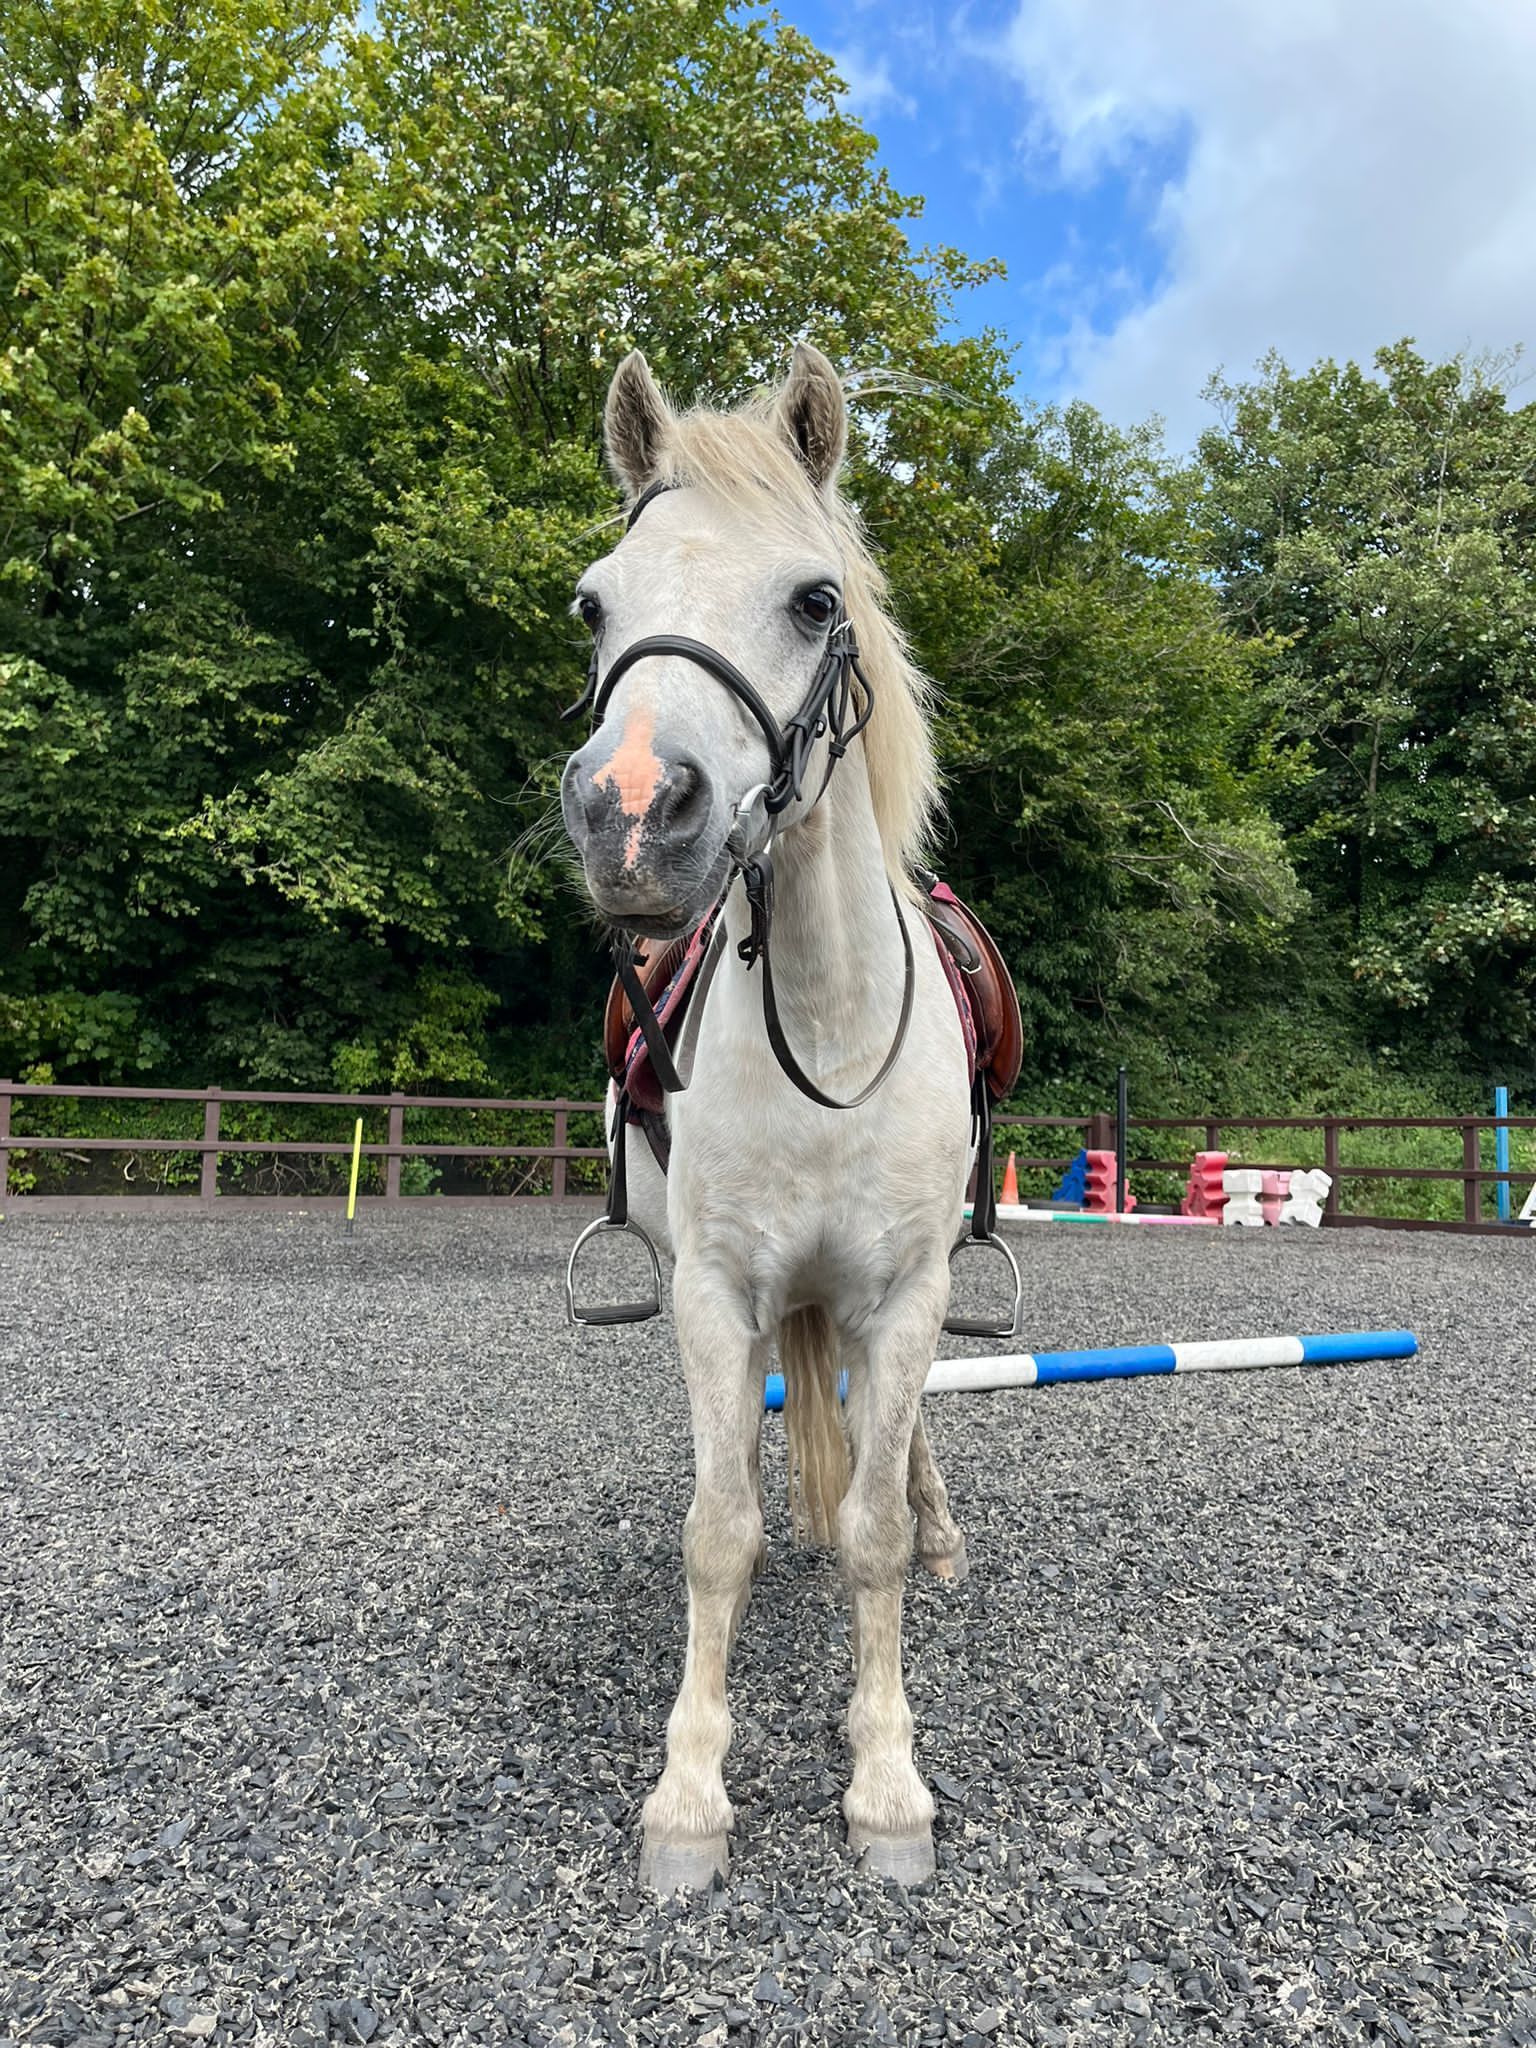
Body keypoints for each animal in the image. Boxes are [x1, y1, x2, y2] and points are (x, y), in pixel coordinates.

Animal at [559, 344, 1013, 1892]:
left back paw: (941, 1535)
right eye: (596, 604)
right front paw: (689, 1796)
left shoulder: (906, 1294)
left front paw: (887, 1785)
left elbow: (868, 1526)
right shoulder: (716, 1294)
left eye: (816, 600)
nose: (634, 812)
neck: (825, 1015)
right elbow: (723, 1530)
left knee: (902, 1440)